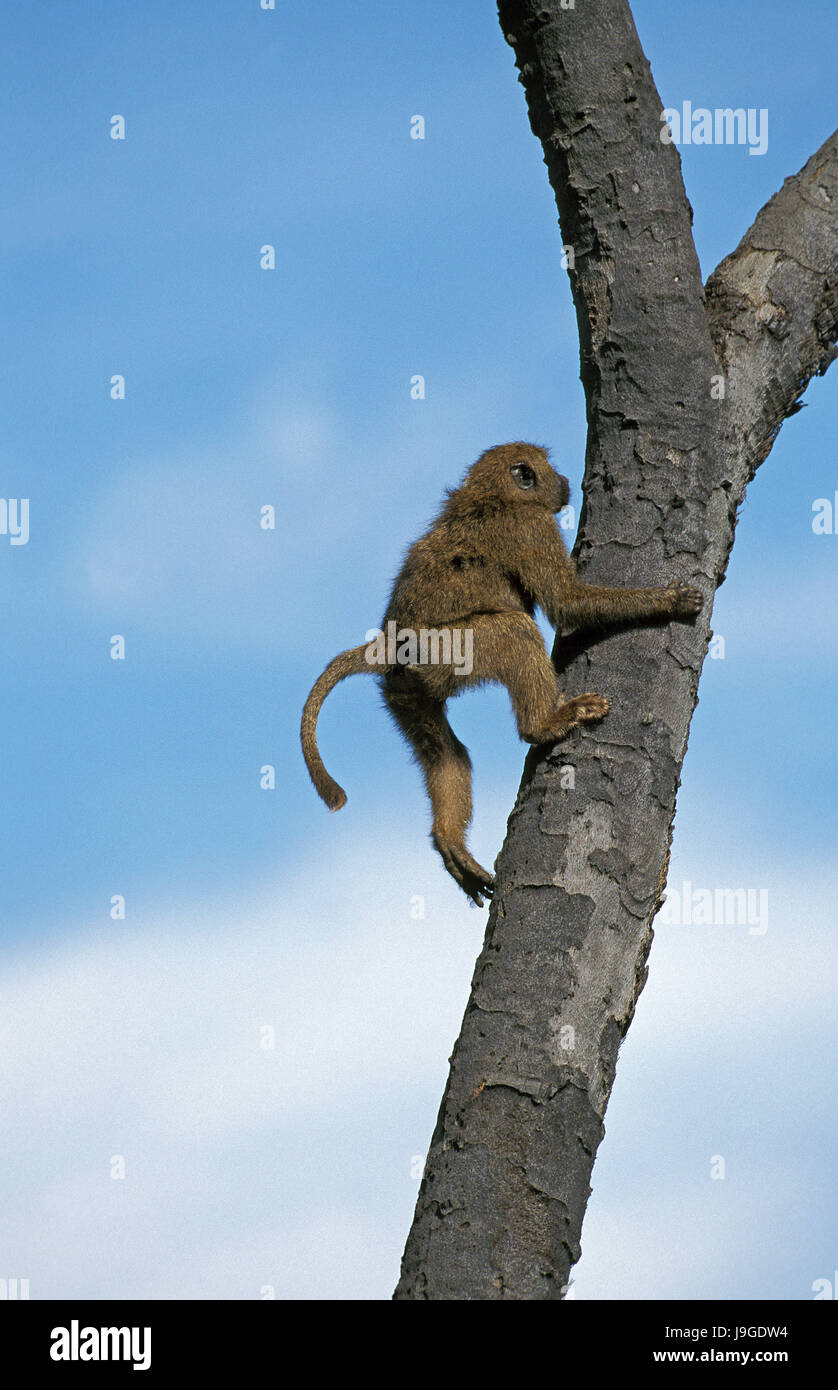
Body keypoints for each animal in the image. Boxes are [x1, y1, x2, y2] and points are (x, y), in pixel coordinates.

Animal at [301, 442, 702, 906]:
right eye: (548, 467)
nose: (567, 482)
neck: (490, 496)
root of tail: (385, 643)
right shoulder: (532, 527)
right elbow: (569, 603)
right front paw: (670, 600)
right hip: (447, 650)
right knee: (517, 629)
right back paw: (546, 723)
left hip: (405, 689)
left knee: (448, 752)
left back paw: (448, 840)